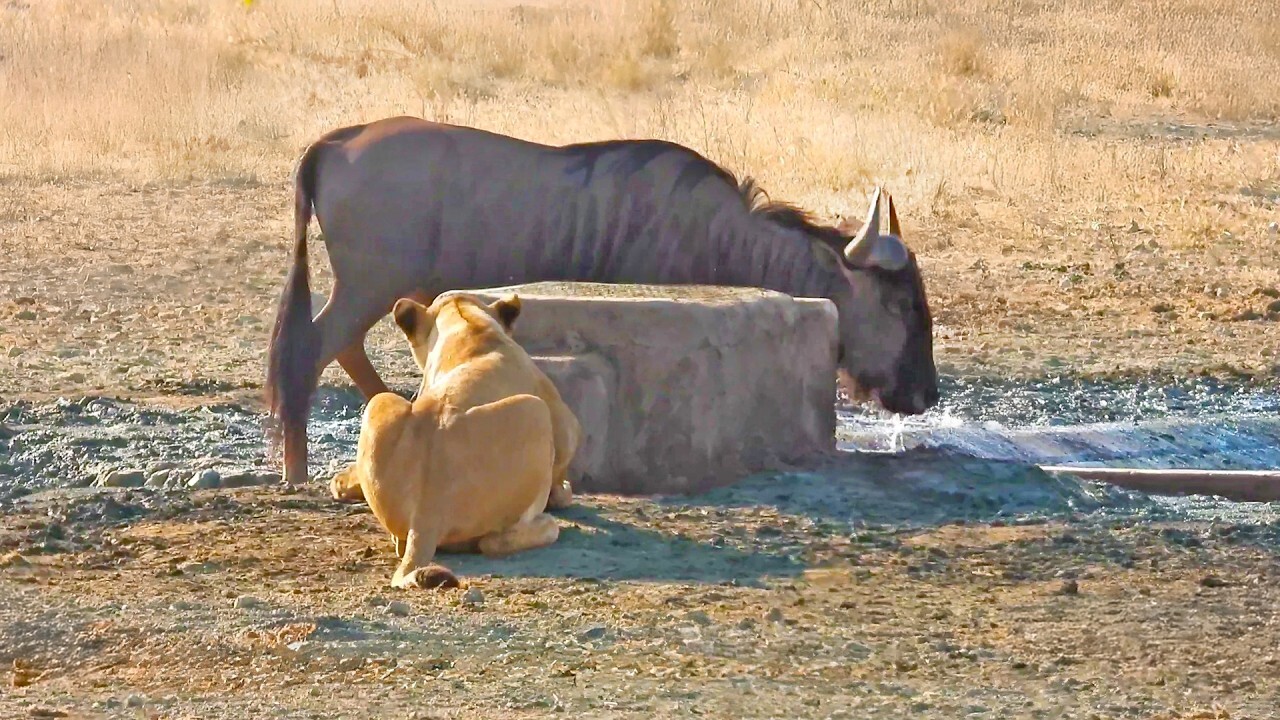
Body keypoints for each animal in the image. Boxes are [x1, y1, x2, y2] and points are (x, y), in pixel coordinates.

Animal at [328, 291, 581, 589]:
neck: (468, 324)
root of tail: (427, 512)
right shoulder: (564, 428)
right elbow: (562, 487)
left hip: (380, 401)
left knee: (402, 543)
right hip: (534, 410)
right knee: (493, 541)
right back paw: (547, 524)